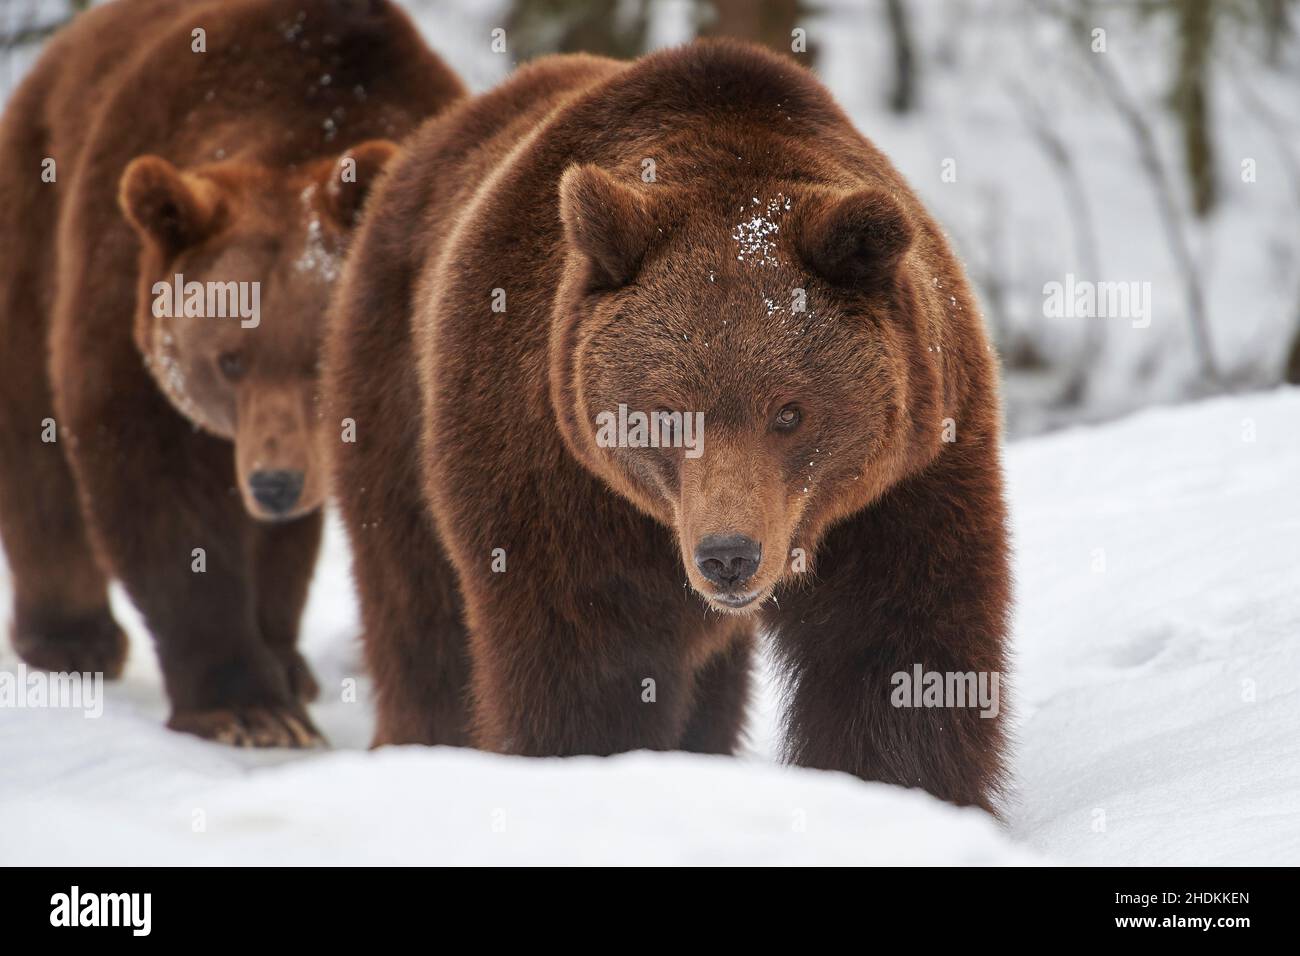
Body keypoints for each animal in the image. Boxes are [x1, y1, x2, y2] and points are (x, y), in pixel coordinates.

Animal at [0, 0, 464, 746]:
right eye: (227, 358)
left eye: (317, 361)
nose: (274, 483)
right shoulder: (127, 277)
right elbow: (154, 482)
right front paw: (247, 708)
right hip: (34, 222)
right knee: (33, 443)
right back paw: (73, 640)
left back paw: (288, 656)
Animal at [325, 41, 1010, 812]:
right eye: (665, 412)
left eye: (789, 410)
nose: (728, 554)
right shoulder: (555, 474)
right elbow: (586, 662)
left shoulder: (906, 476)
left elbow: (897, 650)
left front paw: (901, 789)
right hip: (388, 393)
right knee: (417, 610)